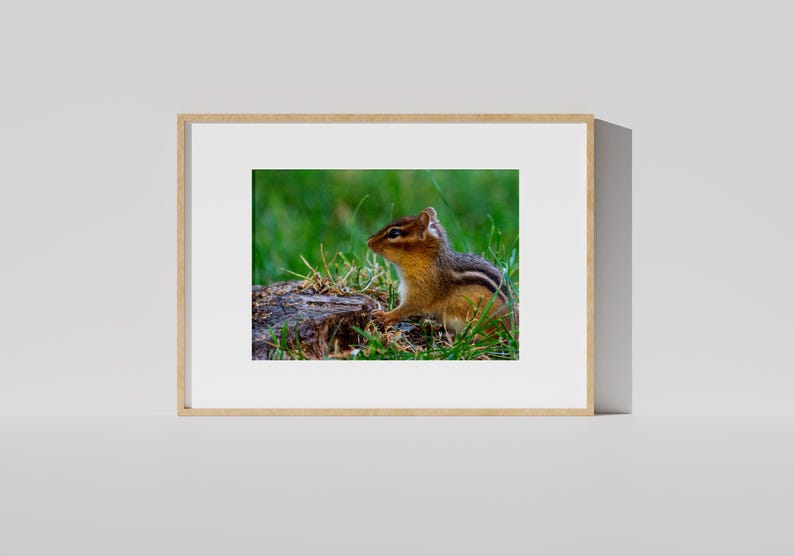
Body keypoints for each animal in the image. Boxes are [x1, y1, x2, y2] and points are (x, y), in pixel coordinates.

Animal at [366, 207, 515, 334]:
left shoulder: (424, 290)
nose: (368, 241)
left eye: (394, 233)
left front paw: (387, 315)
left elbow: (410, 307)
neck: (431, 261)